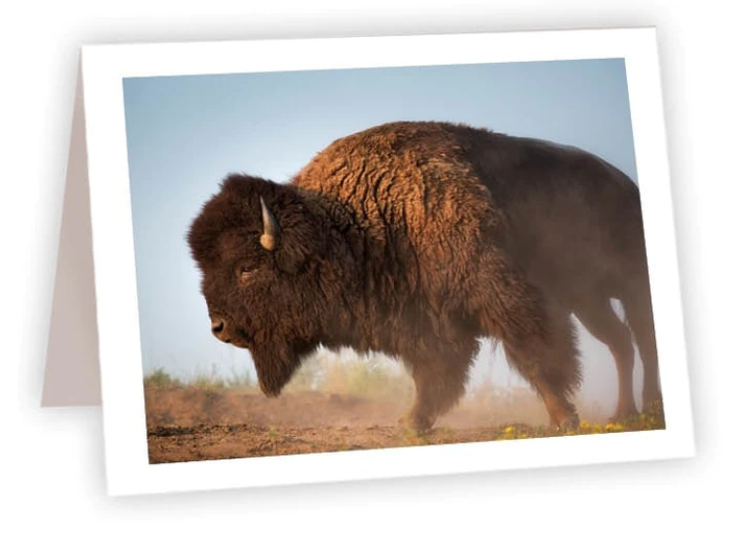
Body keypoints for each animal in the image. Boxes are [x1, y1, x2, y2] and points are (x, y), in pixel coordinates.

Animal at [188, 121, 661, 431]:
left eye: (247, 267)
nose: (219, 327)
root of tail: (627, 185)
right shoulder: (424, 322)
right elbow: (433, 374)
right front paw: (412, 421)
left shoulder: (503, 296)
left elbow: (537, 357)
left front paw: (564, 418)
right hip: (588, 300)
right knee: (621, 342)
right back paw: (625, 414)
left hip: (632, 285)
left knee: (643, 337)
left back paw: (649, 408)